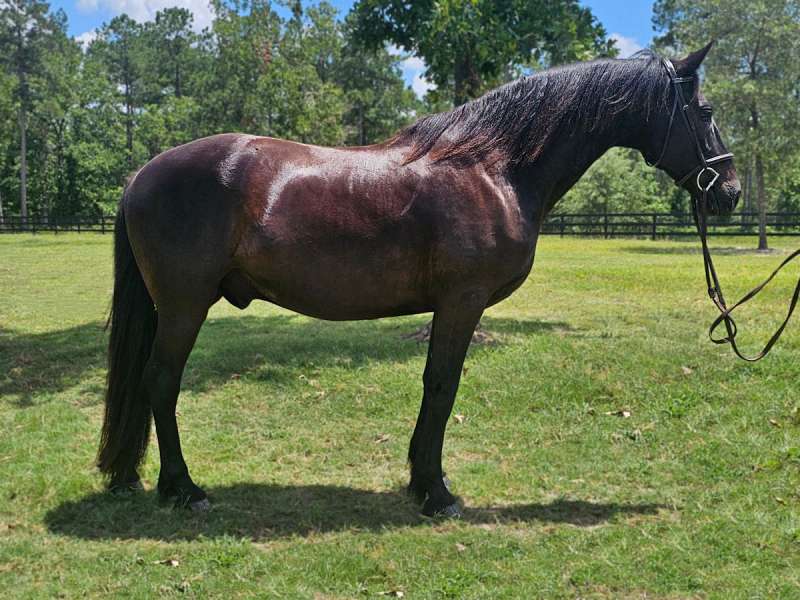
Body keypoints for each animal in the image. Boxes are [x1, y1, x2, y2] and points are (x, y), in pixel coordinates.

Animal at [97, 43, 740, 517]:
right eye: (706, 112)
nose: (730, 192)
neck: (492, 167)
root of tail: (141, 175)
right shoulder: (461, 303)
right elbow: (441, 386)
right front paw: (435, 491)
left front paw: (421, 481)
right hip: (183, 307)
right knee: (161, 382)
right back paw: (183, 489)